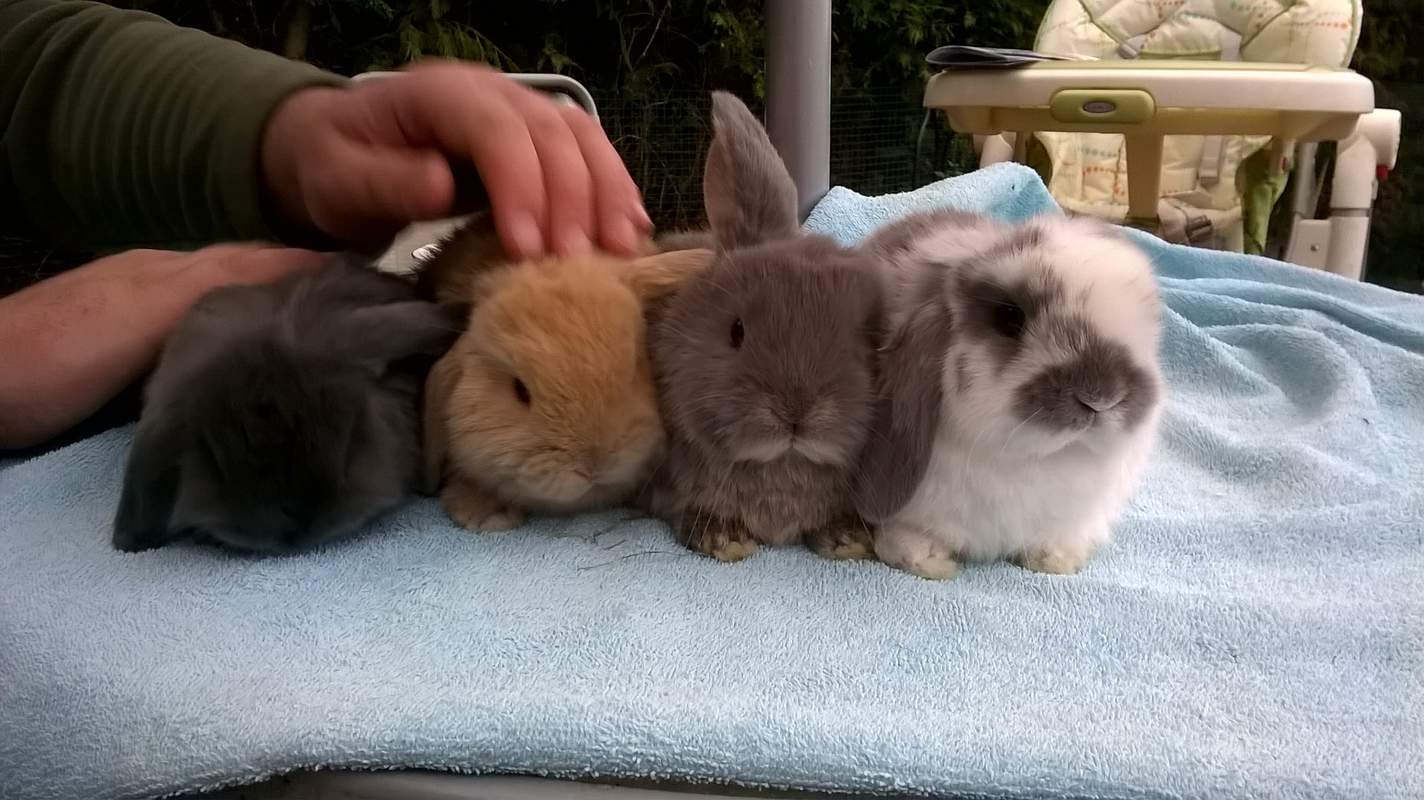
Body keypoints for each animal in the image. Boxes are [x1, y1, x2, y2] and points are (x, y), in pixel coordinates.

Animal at [644, 91, 885, 563]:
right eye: (736, 331)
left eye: (863, 343)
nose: (796, 413)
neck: (782, 467)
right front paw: (725, 539)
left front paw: (848, 539)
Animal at [852, 208, 1165, 579]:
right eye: (1009, 317)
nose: (1102, 397)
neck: (1031, 460)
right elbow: (906, 537)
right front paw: (928, 562)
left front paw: (1056, 560)